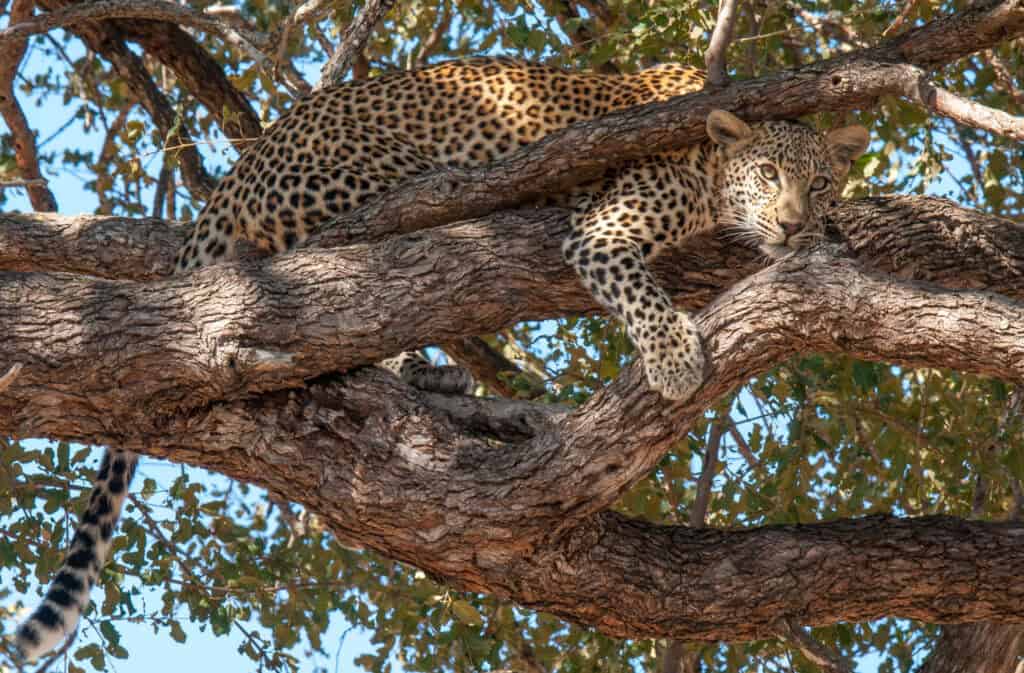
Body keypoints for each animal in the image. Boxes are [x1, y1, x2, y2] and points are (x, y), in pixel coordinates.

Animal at [14, 56, 869, 660]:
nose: (793, 224)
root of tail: (230, 181)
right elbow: (640, 292)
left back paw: (434, 372)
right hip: (397, 183)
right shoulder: (602, 231)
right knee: (356, 280)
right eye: (768, 175)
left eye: (820, 181)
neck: (710, 170)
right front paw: (675, 360)